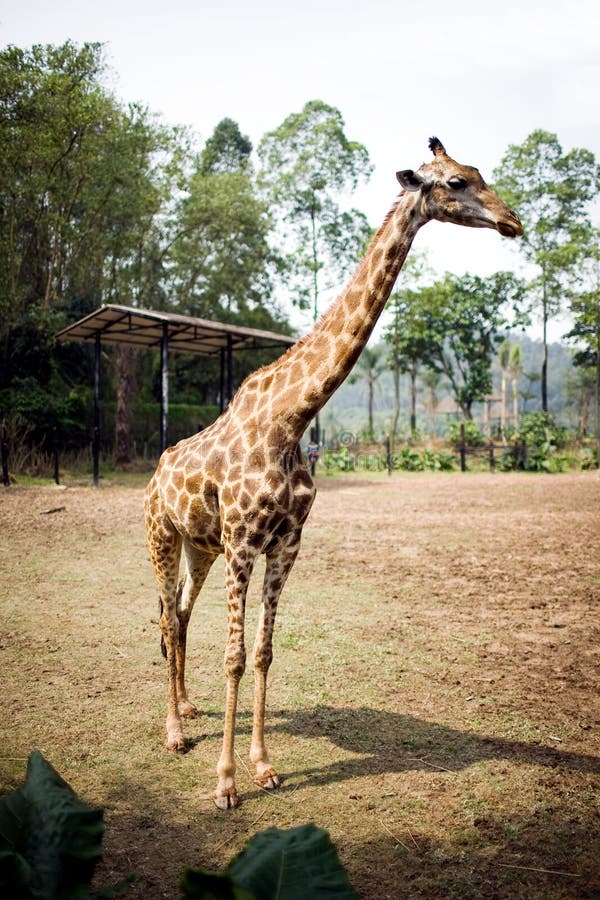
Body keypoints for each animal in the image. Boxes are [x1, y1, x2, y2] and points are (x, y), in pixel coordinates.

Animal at [144, 137, 523, 809]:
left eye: (479, 173)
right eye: (456, 181)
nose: (512, 221)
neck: (292, 419)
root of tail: (156, 472)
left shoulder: (286, 542)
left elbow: (264, 652)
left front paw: (264, 767)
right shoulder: (244, 541)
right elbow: (234, 656)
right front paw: (226, 783)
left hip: (199, 545)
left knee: (181, 617)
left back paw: (188, 709)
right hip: (162, 537)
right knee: (166, 617)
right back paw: (174, 734)